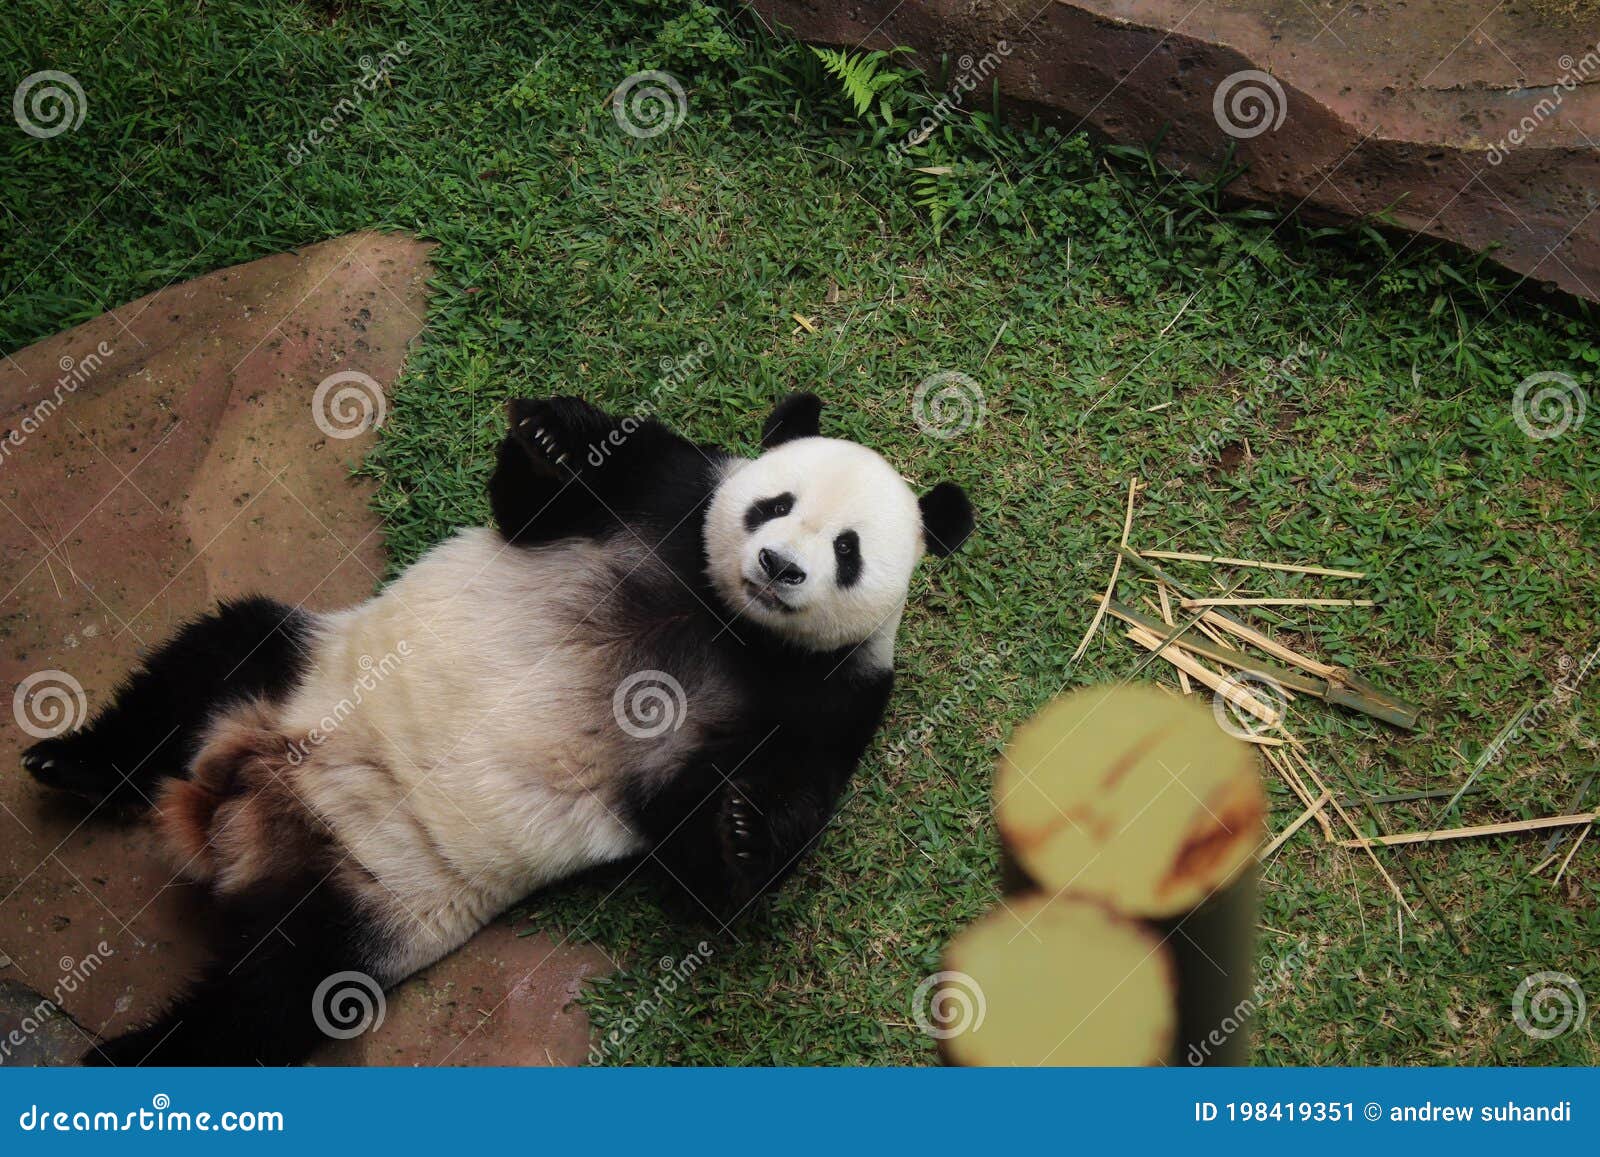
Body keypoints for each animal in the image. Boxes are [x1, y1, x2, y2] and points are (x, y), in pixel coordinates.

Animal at [19, 392, 974, 1066]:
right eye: (772, 504)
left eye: (847, 549)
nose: (778, 566)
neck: (730, 620)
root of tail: (235, 811)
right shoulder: (665, 493)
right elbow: (537, 503)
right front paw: (550, 437)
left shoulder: (828, 696)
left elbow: (711, 847)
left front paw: (741, 829)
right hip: (294, 671)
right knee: (207, 659)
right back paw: (74, 760)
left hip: (366, 897)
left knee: (272, 999)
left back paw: (125, 1057)